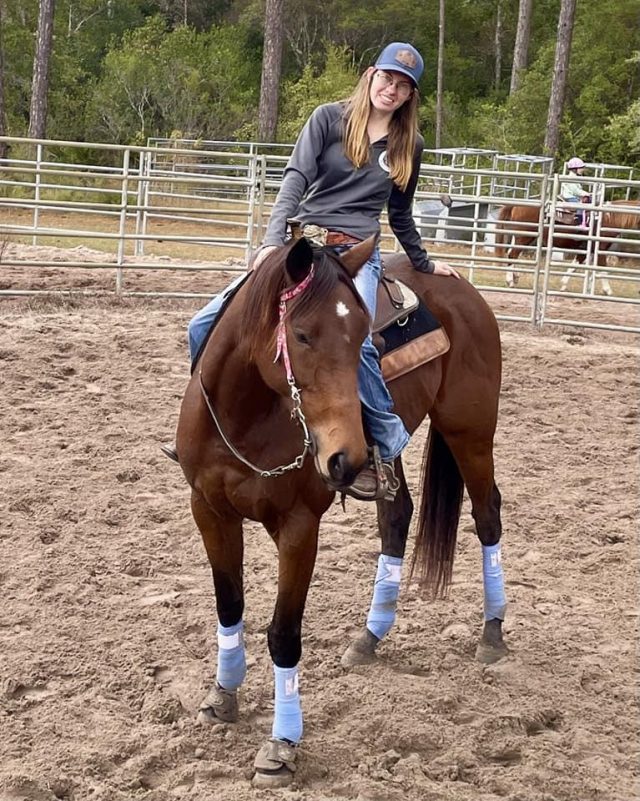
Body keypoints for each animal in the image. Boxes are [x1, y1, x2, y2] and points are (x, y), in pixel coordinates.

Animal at [173, 236, 505, 787]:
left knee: (488, 516)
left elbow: (284, 634)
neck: (247, 415)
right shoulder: (209, 510)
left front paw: (282, 745)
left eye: (358, 344)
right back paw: (369, 637)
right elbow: (229, 606)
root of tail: (465, 291)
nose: (344, 458)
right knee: (398, 518)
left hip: (470, 432)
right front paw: (223, 695)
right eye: (302, 335)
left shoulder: (300, 527)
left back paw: (493, 632)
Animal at [495, 199, 640, 295]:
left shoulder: (586, 250)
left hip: (521, 237)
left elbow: (575, 265)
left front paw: (563, 285)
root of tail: (516, 205)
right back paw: (510, 281)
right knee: (512, 255)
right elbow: (602, 268)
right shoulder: (600, 249)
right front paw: (608, 290)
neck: (608, 218)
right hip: (524, 237)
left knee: (512, 254)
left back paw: (515, 277)